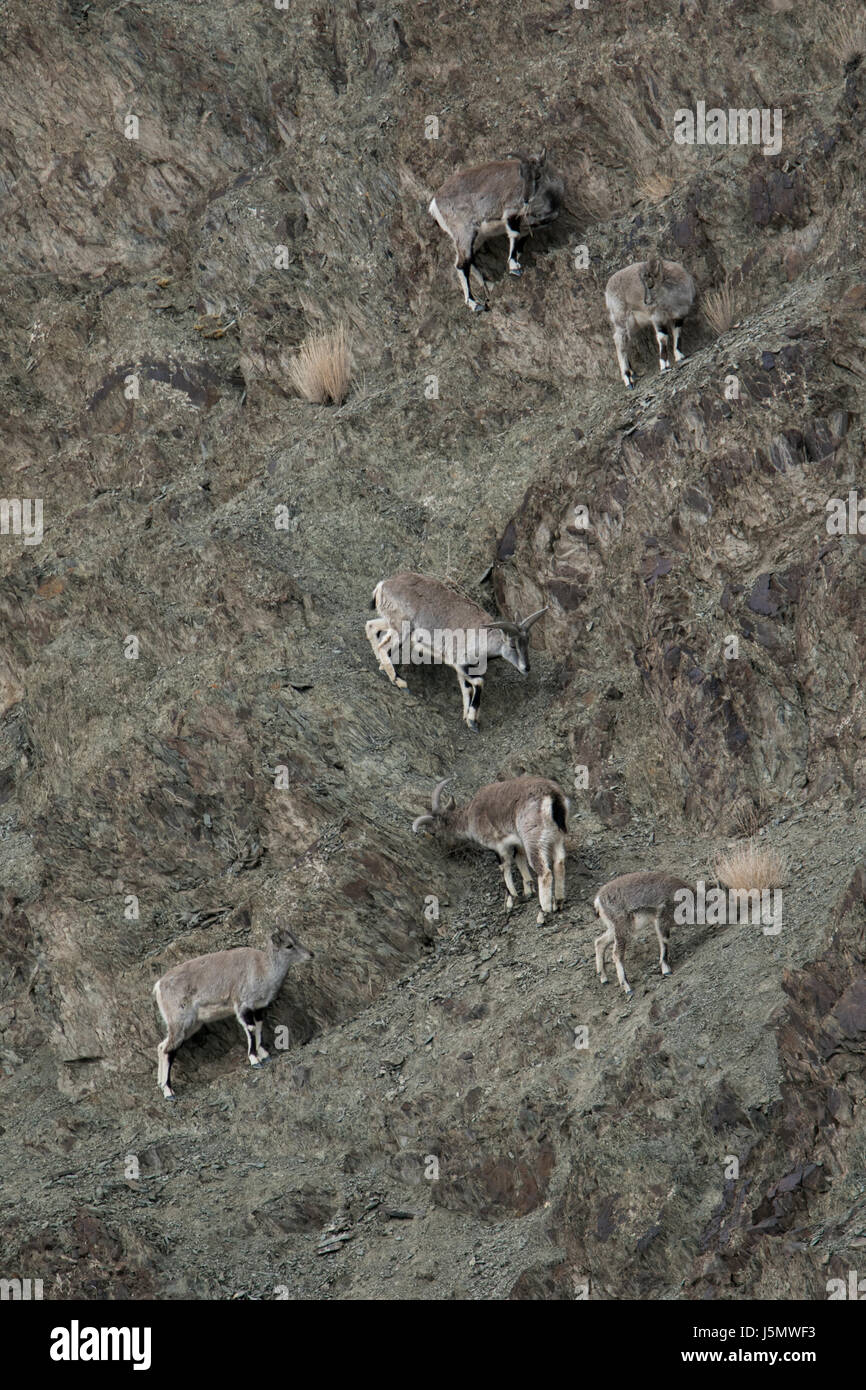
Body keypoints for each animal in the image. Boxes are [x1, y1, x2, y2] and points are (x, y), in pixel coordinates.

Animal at [153, 928, 314, 1098]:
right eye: (289, 946)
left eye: (296, 939)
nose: (311, 954)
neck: (262, 968)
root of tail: (159, 986)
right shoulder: (243, 1006)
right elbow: (250, 1029)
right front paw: (255, 1060)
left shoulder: (258, 1007)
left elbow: (259, 1027)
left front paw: (265, 1055)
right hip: (180, 1021)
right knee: (169, 1050)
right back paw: (168, 1091)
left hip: (191, 1025)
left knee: (162, 1046)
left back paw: (161, 1084)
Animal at [366, 571, 547, 733]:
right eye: (512, 645)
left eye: (527, 643)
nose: (526, 668)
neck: (481, 636)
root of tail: (383, 585)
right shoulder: (460, 662)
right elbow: (479, 682)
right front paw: (473, 721)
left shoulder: (463, 668)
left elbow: (467, 688)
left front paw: (467, 718)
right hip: (401, 628)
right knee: (383, 646)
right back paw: (399, 681)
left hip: (391, 622)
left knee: (371, 626)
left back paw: (382, 666)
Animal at [412, 775, 569, 924]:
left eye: (433, 832)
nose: (442, 847)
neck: (471, 816)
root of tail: (552, 795)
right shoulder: (518, 842)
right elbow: (519, 859)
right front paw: (528, 891)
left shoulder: (498, 844)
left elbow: (504, 868)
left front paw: (511, 900)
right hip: (557, 837)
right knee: (559, 863)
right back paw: (559, 902)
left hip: (533, 838)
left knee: (545, 872)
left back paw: (544, 911)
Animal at [429, 151, 563, 311]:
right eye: (522, 175)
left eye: (538, 175)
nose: (525, 199)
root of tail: (434, 204)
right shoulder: (511, 212)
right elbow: (514, 234)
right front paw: (514, 267)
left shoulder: (536, 220)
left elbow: (524, 237)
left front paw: (517, 258)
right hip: (464, 232)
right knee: (461, 264)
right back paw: (474, 304)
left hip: (477, 236)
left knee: (469, 259)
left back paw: (489, 285)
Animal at [605, 252, 696, 388]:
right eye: (645, 286)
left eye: (651, 285)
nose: (646, 302)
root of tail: (607, 289)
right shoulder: (658, 317)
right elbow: (663, 337)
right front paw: (664, 366)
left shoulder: (679, 316)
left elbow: (677, 334)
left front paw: (680, 356)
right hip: (621, 318)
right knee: (619, 341)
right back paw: (627, 379)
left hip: (633, 323)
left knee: (625, 342)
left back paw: (633, 374)